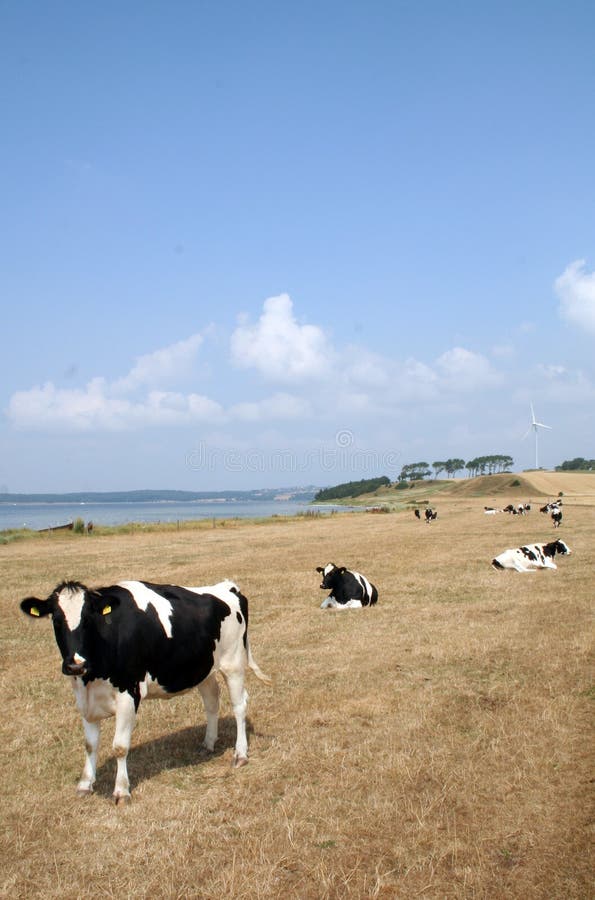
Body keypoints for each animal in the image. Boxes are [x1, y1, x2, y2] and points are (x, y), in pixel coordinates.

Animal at [19, 579, 270, 803]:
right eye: (56, 620)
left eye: (89, 619)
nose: (75, 665)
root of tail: (227, 587)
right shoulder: (84, 699)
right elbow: (90, 745)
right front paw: (85, 784)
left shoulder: (128, 695)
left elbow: (120, 747)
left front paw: (121, 791)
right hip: (203, 669)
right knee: (212, 702)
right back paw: (208, 744)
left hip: (233, 663)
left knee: (239, 706)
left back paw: (240, 755)